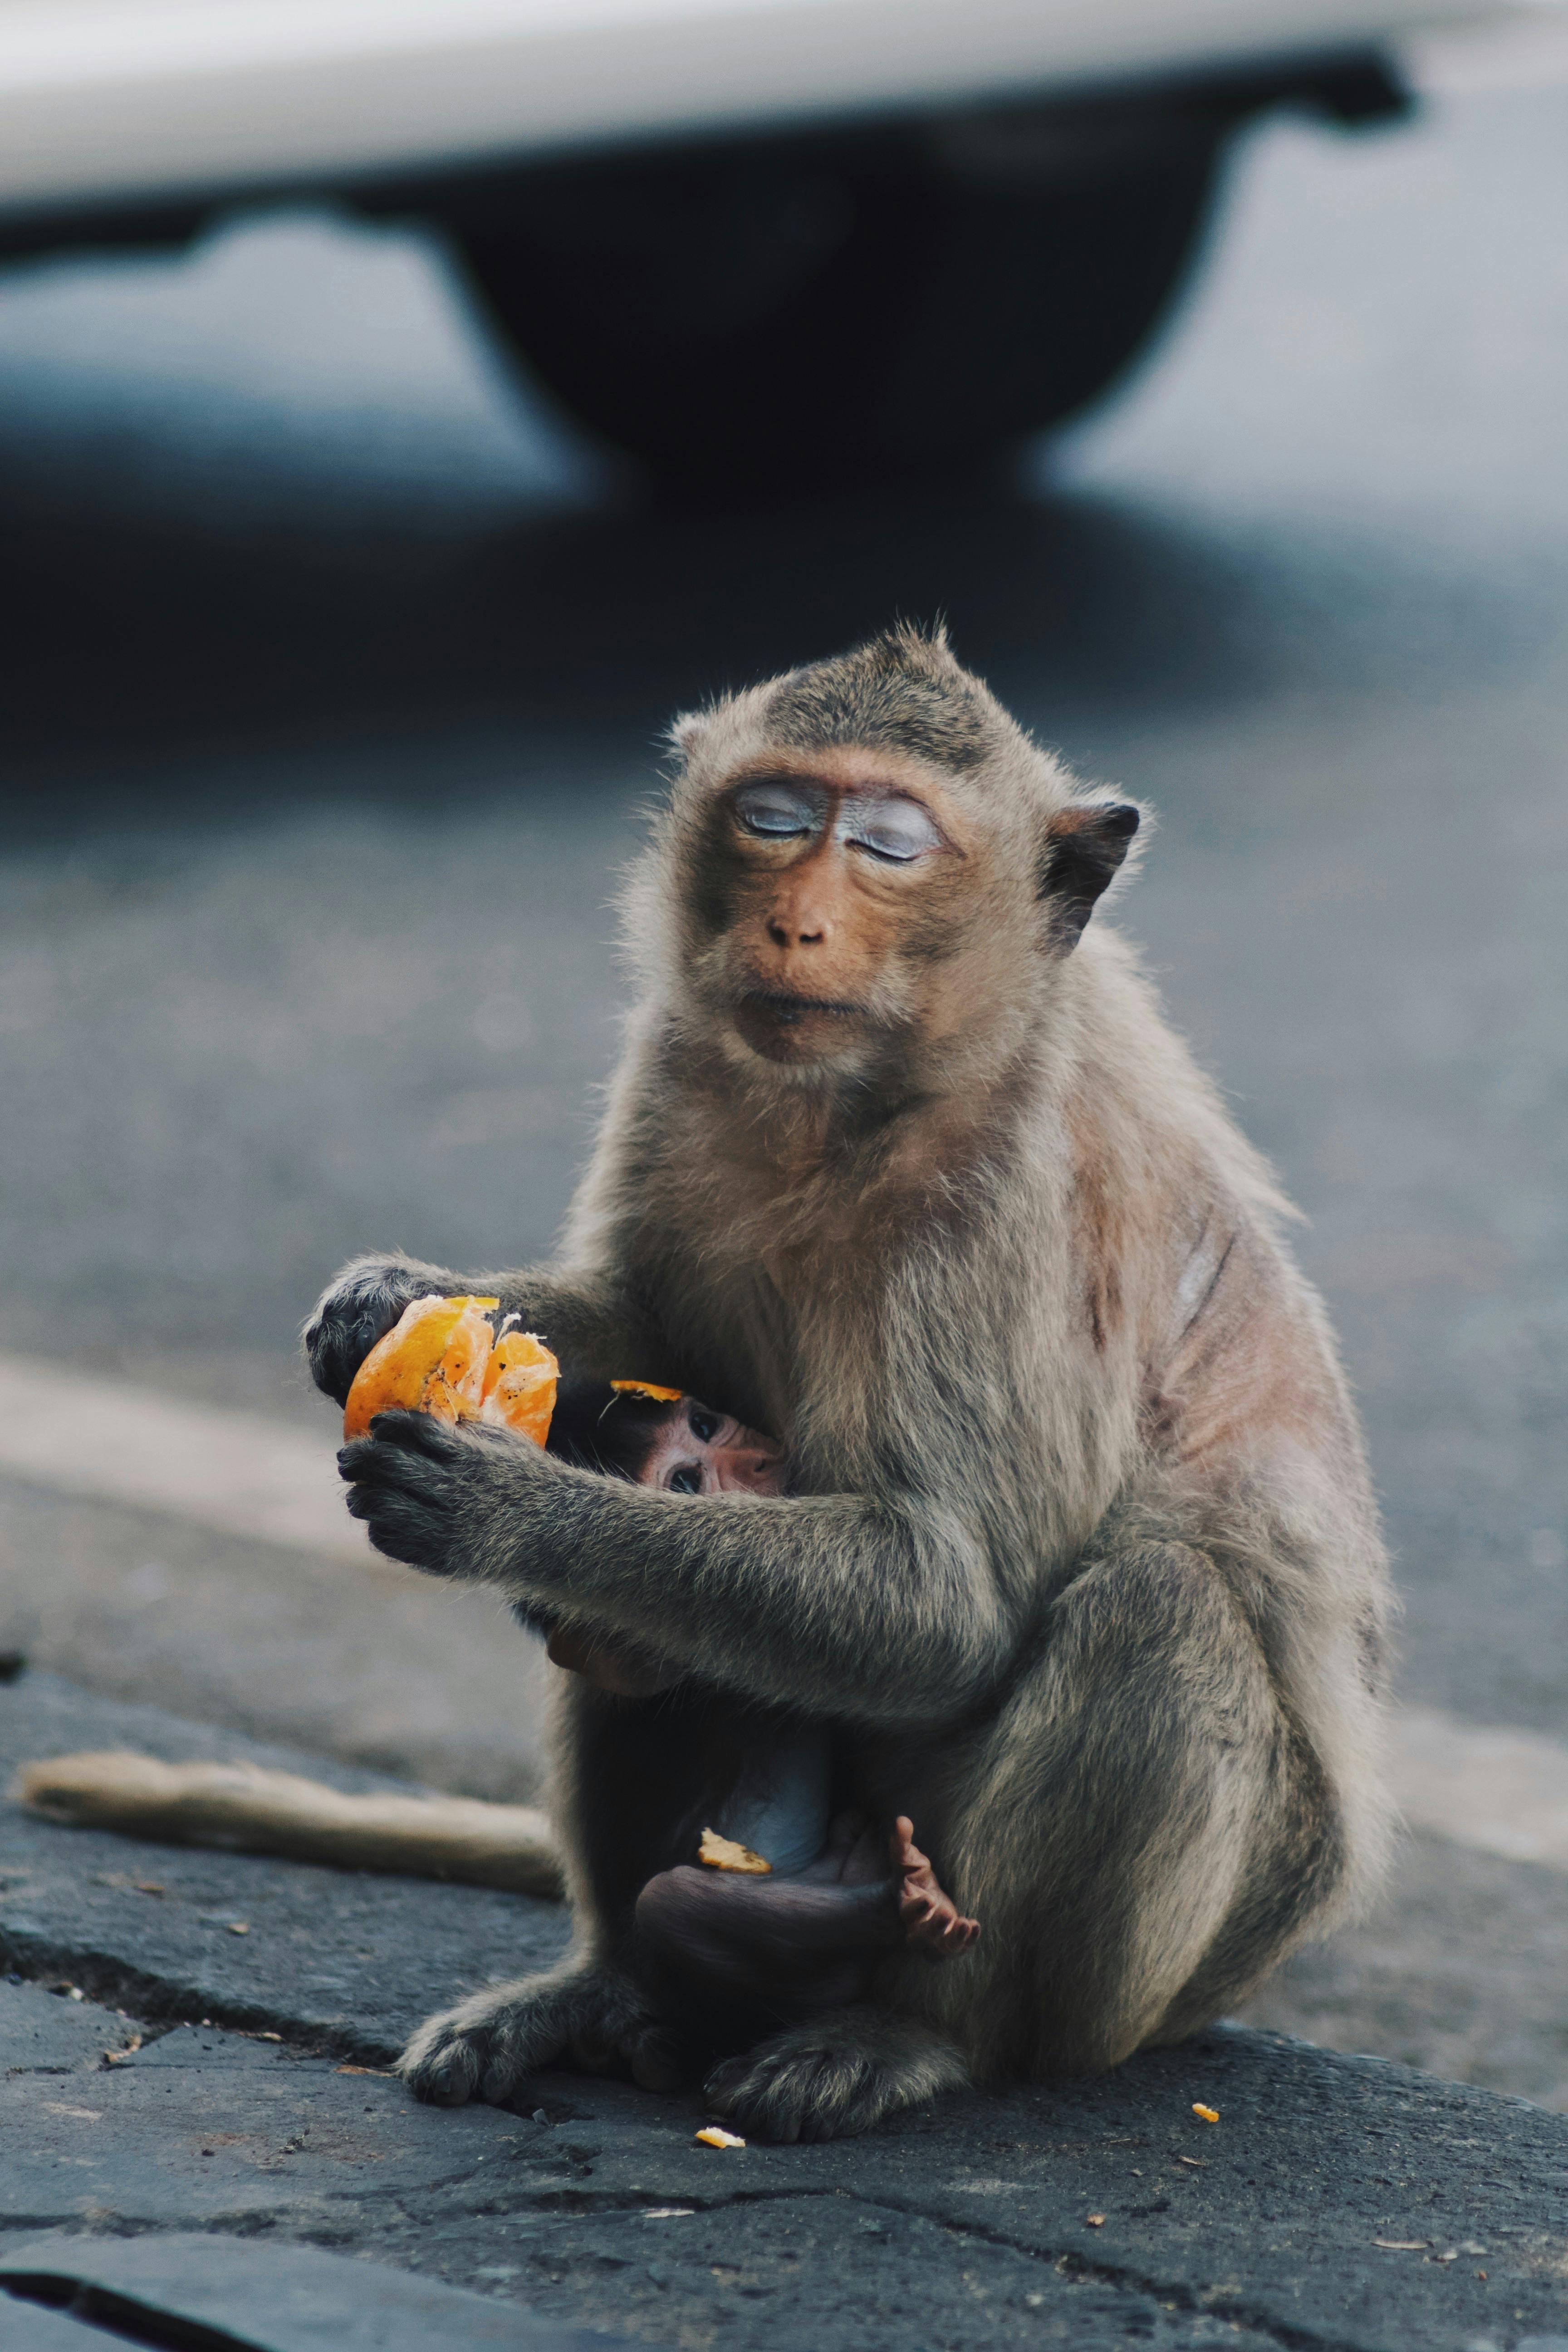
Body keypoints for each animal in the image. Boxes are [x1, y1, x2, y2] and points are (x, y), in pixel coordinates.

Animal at [305, 622, 1393, 2143]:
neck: (861, 1101)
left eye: (886, 846)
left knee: (1155, 1609)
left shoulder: (1001, 1208)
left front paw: (515, 1514)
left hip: (1188, 1956)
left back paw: (922, 2034)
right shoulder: (681, 1059)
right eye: (774, 818)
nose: (795, 926)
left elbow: (948, 1604)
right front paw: (392, 1301)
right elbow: (653, 1334)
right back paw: (610, 1987)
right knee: (639, 1647)